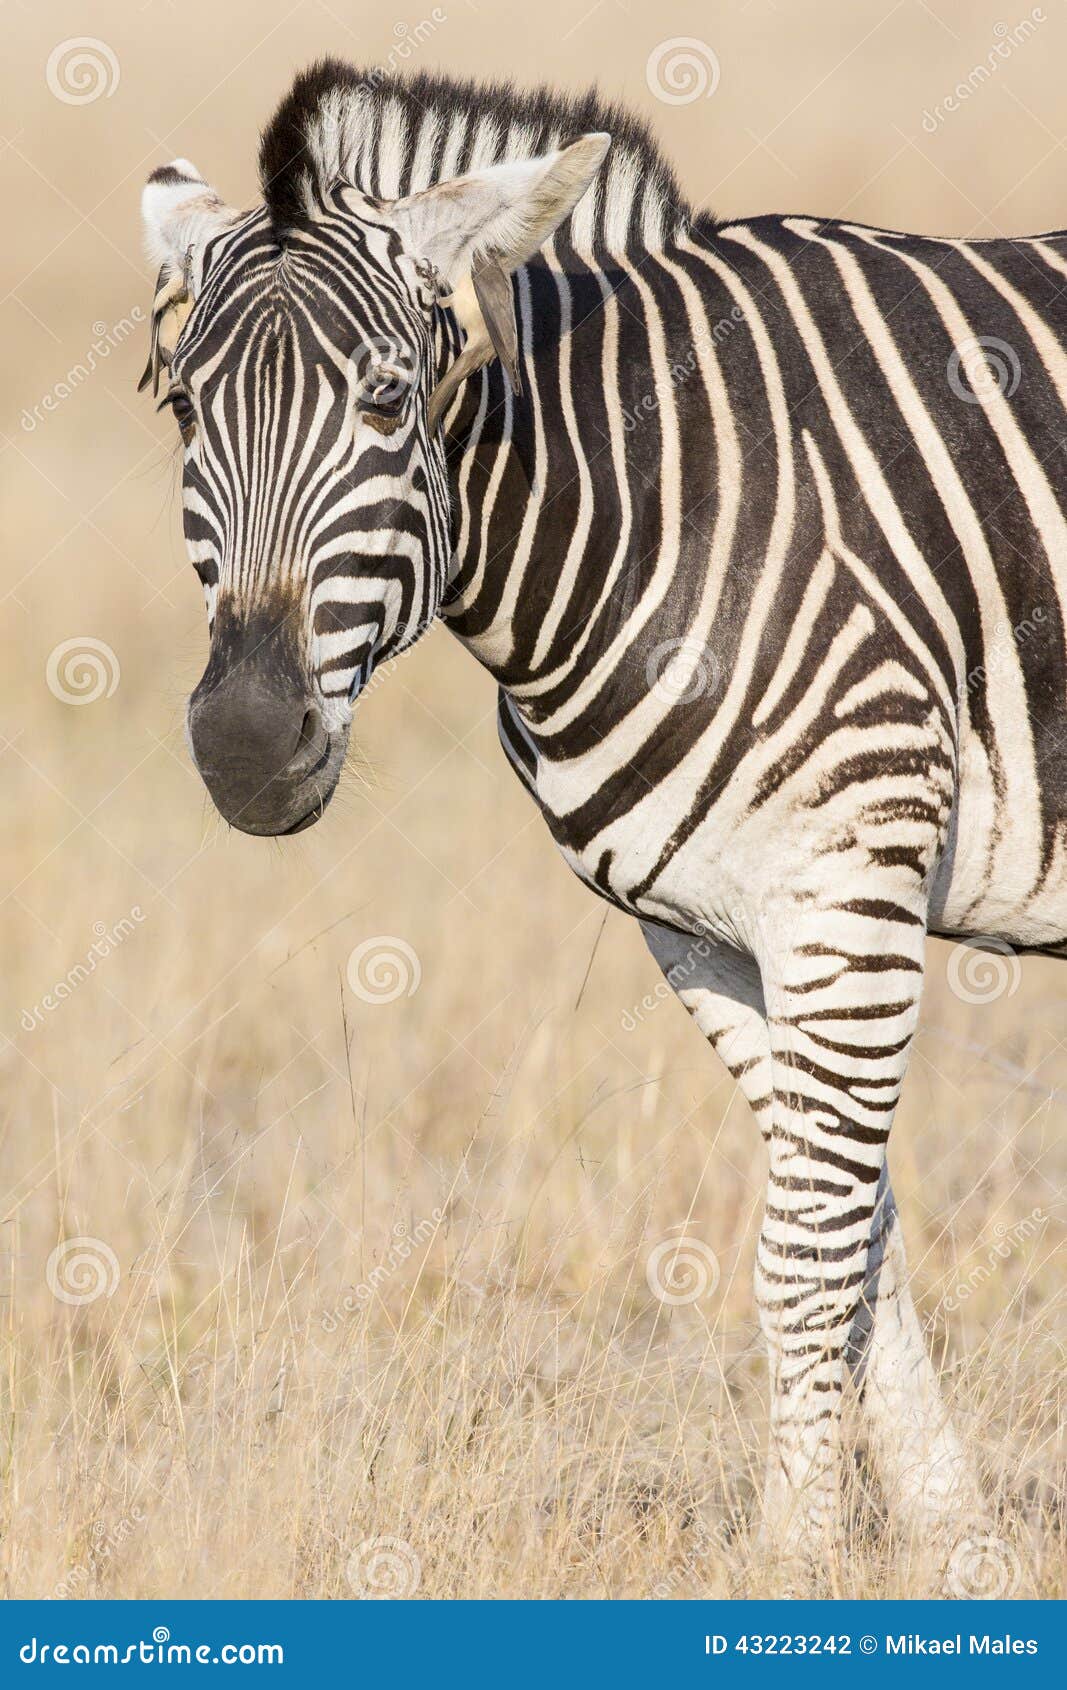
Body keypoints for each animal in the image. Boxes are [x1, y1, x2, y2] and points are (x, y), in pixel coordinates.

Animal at [139, 58, 1065, 1558]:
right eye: (181, 414)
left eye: (389, 404)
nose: (242, 747)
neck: (653, 502)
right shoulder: (709, 932)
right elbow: (857, 1240)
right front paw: (953, 1550)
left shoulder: (846, 885)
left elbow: (803, 1255)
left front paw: (789, 1562)